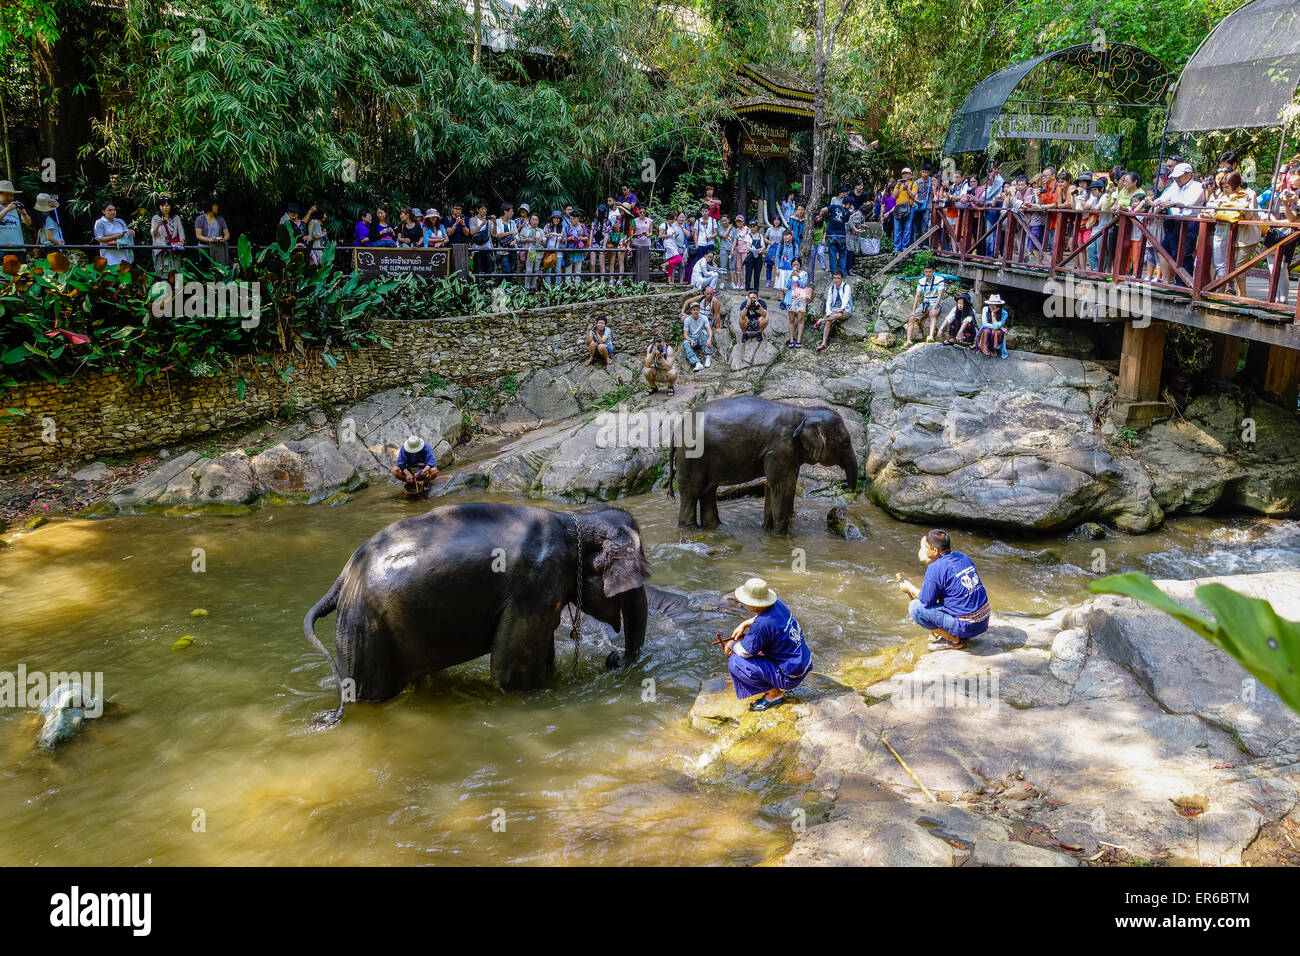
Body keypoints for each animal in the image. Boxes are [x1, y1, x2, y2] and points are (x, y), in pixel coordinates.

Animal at [303, 502, 651, 723]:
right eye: (634, 584)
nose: (613, 659)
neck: (573, 520)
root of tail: (344, 575)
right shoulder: (533, 585)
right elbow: (511, 671)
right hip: (364, 631)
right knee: (368, 692)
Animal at [668, 396, 858, 535]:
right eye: (845, 444)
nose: (845, 485)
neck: (805, 412)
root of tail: (676, 430)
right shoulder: (779, 448)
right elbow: (784, 487)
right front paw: (783, 536)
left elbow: (772, 486)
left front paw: (768, 530)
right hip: (692, 455)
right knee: (692, 491)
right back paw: (691, 530)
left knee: (708, 490)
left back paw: (715, 527)